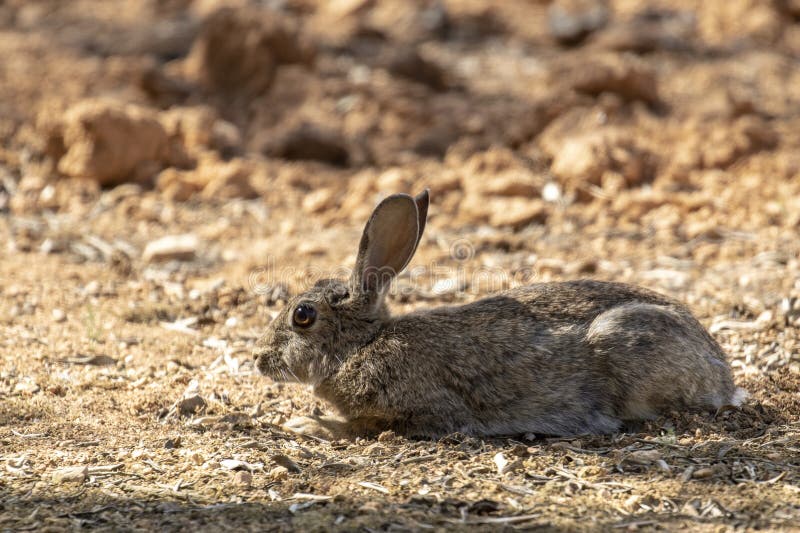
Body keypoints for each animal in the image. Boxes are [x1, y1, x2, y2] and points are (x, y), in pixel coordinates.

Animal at [253, 190, 745, 439]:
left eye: (303, 315)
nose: (258, 360)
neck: (362, 346)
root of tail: (720, 373)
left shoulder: (425, 411)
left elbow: (360, 426)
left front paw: (306, 424)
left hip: (623, 342)